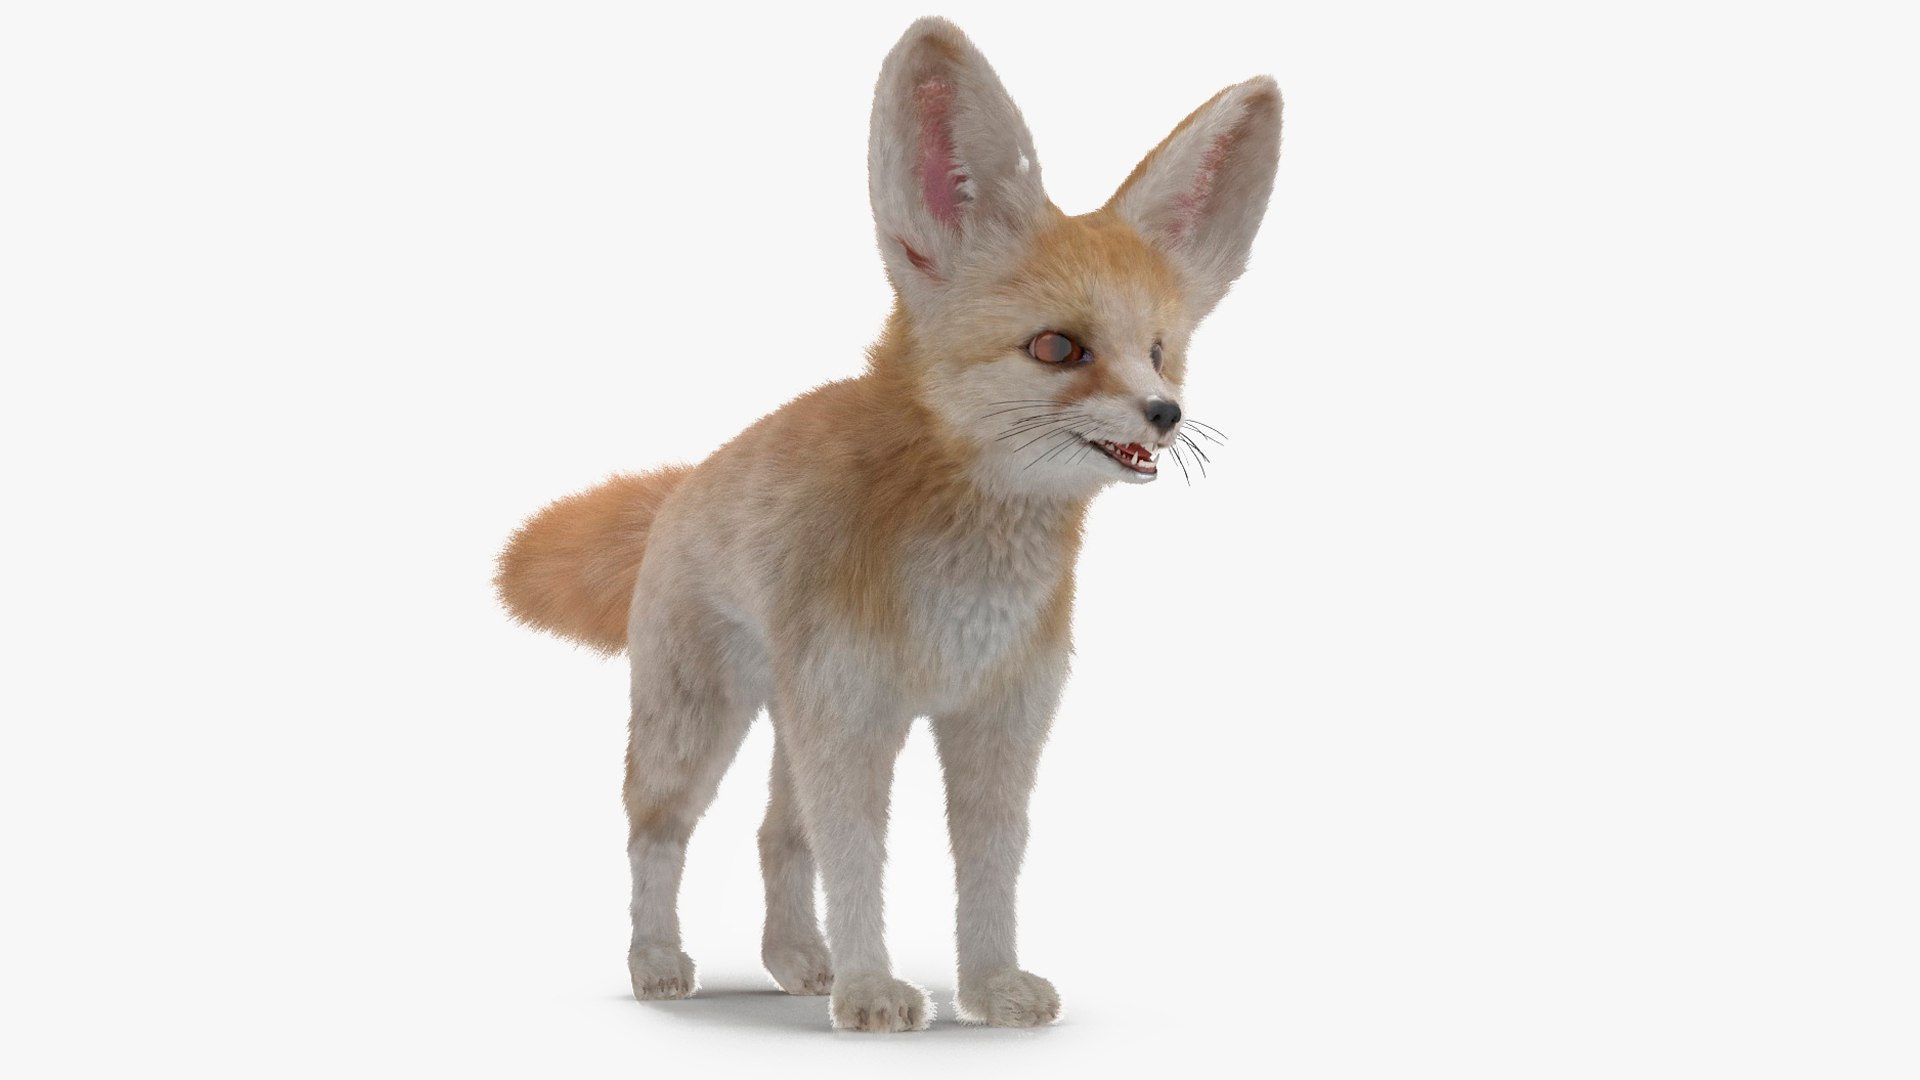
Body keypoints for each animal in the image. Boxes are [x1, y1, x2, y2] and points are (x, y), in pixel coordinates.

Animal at [495, 17, 1281, 1032]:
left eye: (1159, 352)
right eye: (1059, 348)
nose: (1165, 414)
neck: (966, 596)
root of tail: (684, 484)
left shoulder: (998, 722)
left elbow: (986, 873)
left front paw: (988, 987)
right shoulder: (856, 719)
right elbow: (858, 863)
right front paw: (873, 991)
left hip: (793, 719)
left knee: (776, 836)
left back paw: (796, 959)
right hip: (703, 723)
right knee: (656, 834)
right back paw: (658, 964)